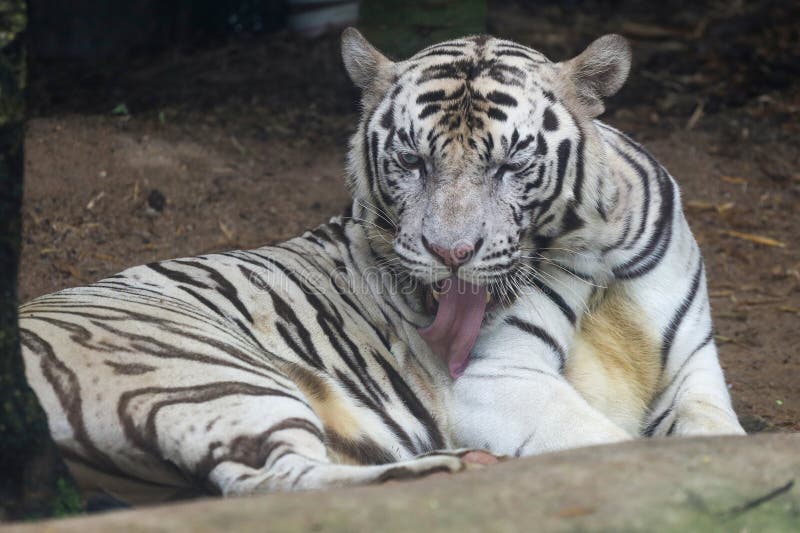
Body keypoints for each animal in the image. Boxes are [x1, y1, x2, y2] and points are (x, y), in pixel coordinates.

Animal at [19, 28, 744, 504]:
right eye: (412, 161)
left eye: (510, 164)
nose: (451, 253)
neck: (592, 251)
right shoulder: (495, 378)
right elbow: (614, 441)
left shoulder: (695, 374)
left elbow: (721, 437)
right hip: (205, 373)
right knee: (263, 483)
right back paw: (453, 467)